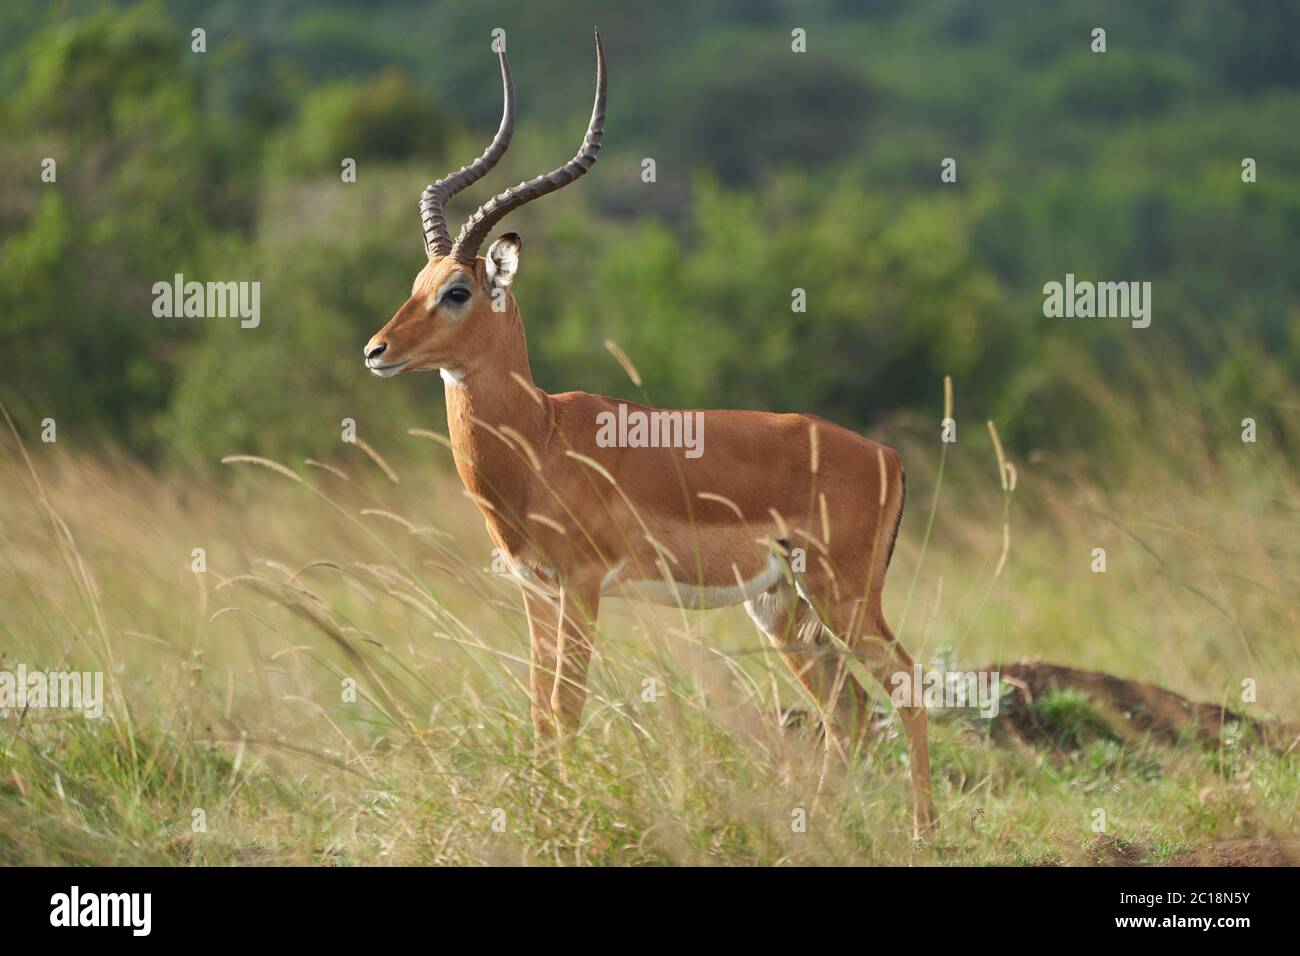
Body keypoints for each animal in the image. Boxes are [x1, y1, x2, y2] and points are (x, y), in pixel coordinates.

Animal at [363, 33, 936, 839]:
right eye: (417, 282)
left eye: (459, 290)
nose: (376, 350)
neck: (541, 437)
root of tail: (886, 456)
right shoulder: (535, 591)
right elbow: (540, 713)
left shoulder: (582, 586)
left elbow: (567, 710)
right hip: (784, 607)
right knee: (847, 710)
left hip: (841, 595)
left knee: (906, 684)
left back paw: (922, 831)